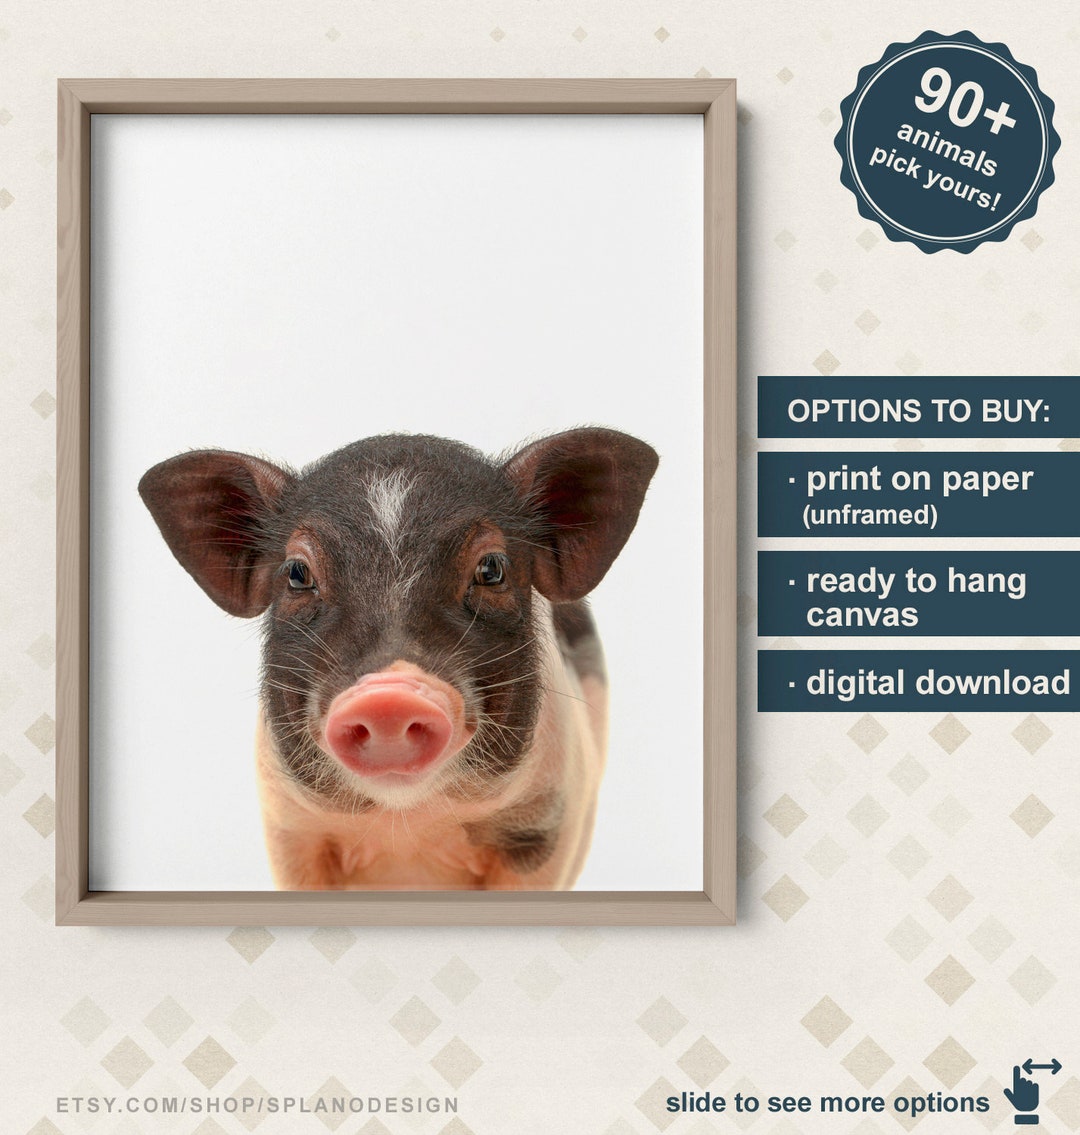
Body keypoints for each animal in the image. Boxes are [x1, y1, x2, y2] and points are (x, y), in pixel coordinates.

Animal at [138, 428, 658, 890]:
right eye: (297, 573)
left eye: (492, 569)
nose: (389, 693)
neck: (406, 826)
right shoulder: (290, 828)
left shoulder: (549, 824)